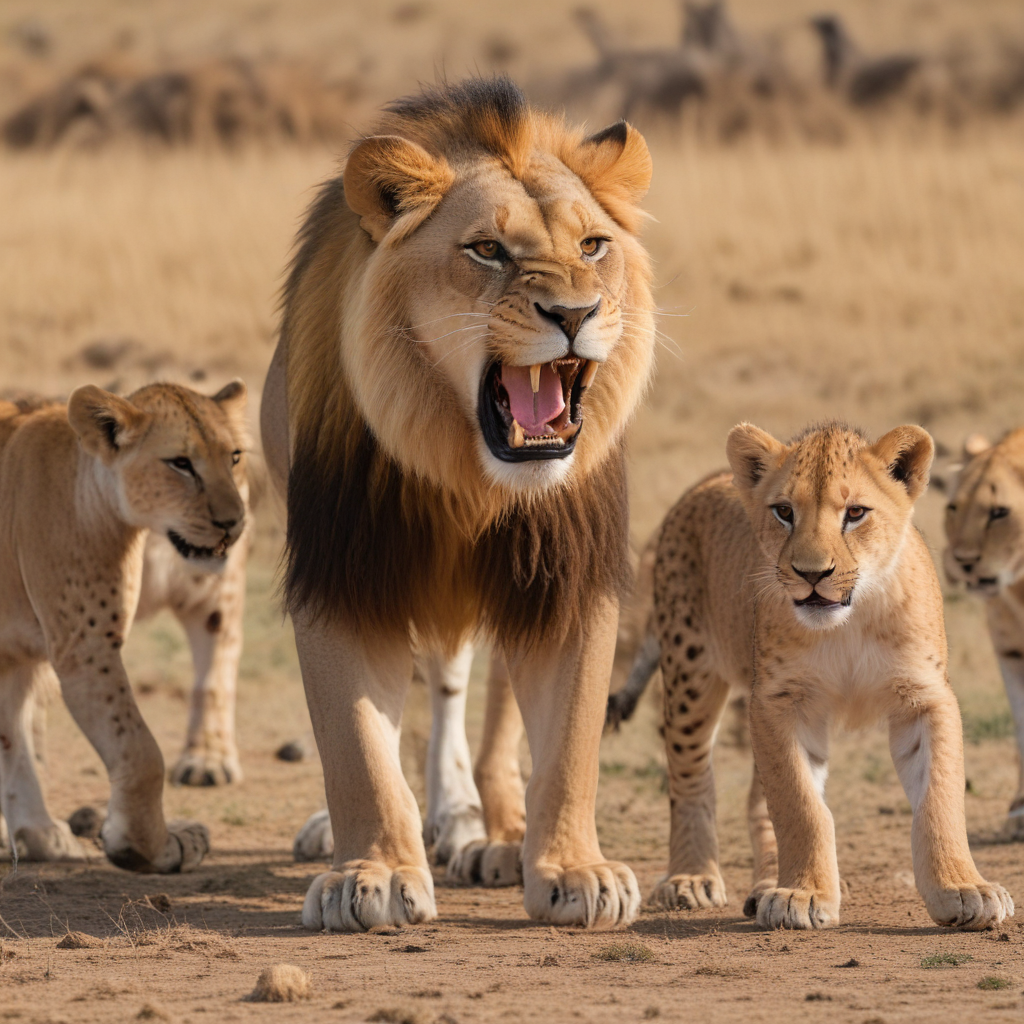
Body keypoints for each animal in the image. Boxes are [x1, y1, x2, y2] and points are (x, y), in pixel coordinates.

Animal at [0, 381, 248, 871]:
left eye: (233, 457)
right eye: (181, 463)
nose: (234, 524)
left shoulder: (18, 655)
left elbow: (13, 743)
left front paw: (41, 836)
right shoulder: (86, 646)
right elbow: (141, 751)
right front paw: (151, 846)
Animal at [261, 76, 656, 931]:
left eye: (592, 247)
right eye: (487, 250)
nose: (574, 315)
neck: (470, 475)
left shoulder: (568, 573)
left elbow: (568, 741)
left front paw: (574, 870)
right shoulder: (342, 565)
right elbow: (355, 743)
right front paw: (371, 872)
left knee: (472, 693)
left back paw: (487, 829)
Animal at [624, 420, 1013, 930]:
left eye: (856, 513)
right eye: (784, 512)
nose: (812, 574)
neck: (848, 623)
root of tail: (704, 483)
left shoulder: (925, 696)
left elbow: (940, 797)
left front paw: (964, 889)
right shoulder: (779, 701)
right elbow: (800, 803)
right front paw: (804, 895)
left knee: (755, 802)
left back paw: (767, 884)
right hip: (690, 668)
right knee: (690, 777)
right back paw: (691, 879)